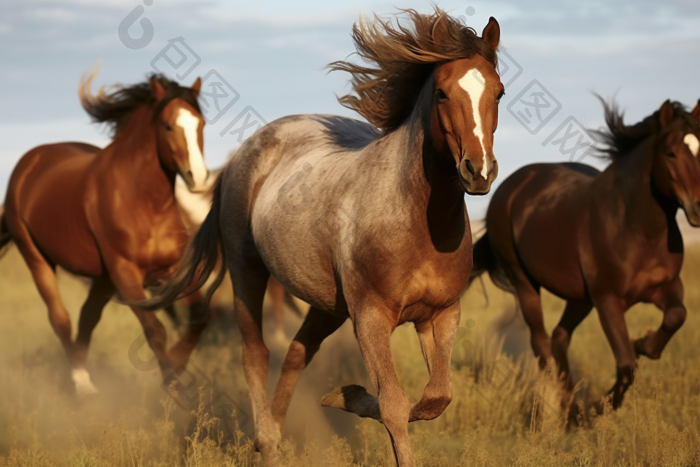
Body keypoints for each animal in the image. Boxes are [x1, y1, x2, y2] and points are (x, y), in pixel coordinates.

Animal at [0, 69, 210, 395]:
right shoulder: (126, 274)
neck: (145, 203)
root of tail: (30, 162)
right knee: (61, 319)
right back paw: (81, 385)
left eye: (200, 124)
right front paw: (172, 386)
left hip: (103, 278)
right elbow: (155, 328)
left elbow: (198, 317)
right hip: (39, 260)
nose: (197, 179)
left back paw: (84, 378)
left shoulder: (171, 270)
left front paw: (177, 366)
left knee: (87, 317)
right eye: (167, 126)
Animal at [140, 8, 504, 466]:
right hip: (248, 271)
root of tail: (247, 150)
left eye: (499, 93)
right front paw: (355, 397)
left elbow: (436, 397)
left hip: (329, 305)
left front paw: (347, 395)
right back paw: (266, 441)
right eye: (441, 93)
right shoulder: (370, 317)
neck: (415, 222)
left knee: (297, 352)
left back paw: (291, 425)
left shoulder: (440, 314)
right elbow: (394, 404)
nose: (479, 171)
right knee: (257, 353)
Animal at [469, 98, 700, 410]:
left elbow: (677, 315)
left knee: (559, 338)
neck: (637, 229)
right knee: (541, 342)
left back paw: (571, 408)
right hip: (525, 283)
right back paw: (564, 408)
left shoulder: (667, 286)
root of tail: (511, 185)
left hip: (579, 297)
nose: (698, 208)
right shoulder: (608, 301)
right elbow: (626, 365)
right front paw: (598, 407)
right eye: (671, 153)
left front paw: (644, 343)